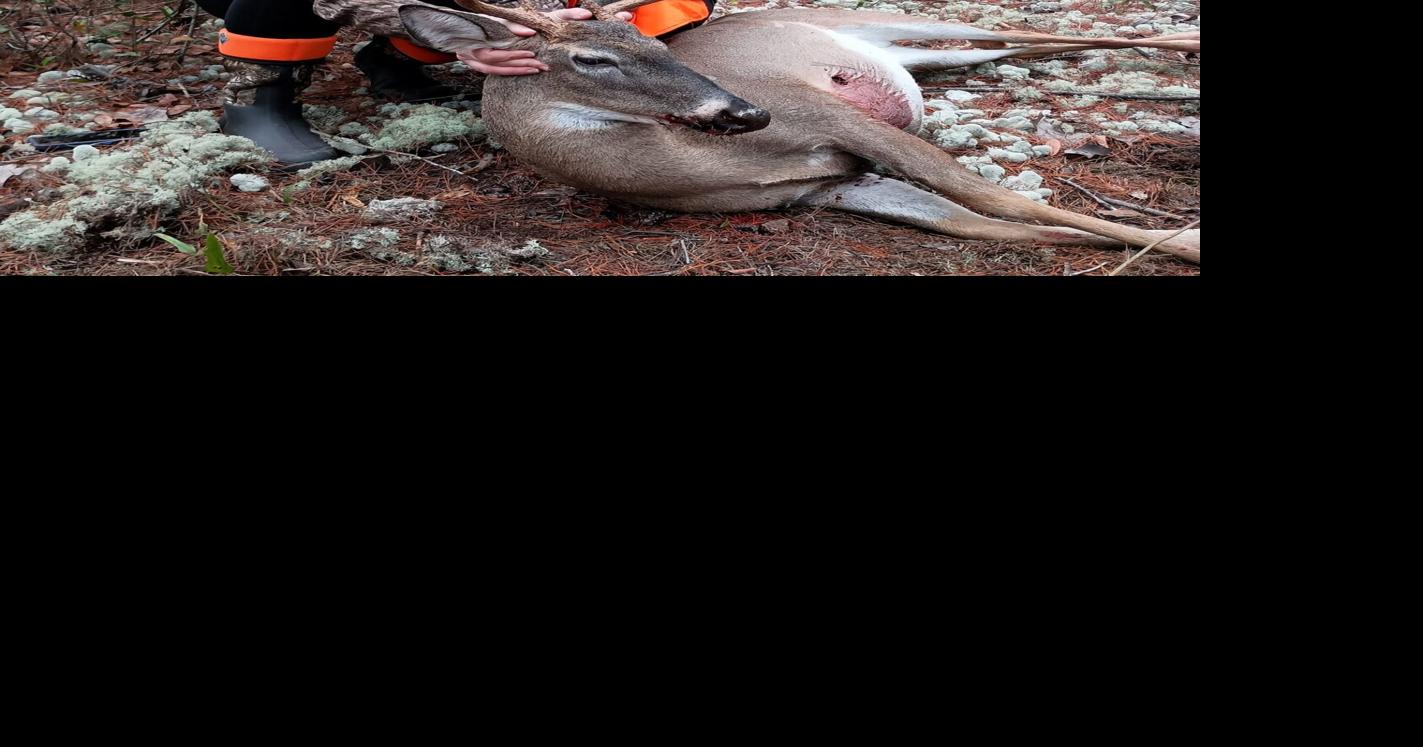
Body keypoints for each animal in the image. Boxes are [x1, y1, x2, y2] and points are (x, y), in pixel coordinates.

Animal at [358, 0, 1201, 263]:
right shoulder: (828, 186)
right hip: (921, 53)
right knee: (1007, 48)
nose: (744, 112)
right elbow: (998, 227)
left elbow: (1008, 203)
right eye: (593, 58)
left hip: (888, 24)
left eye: (646, 37)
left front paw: (1187, 241)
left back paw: (1182, 46)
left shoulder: (830, 117)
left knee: (1034, 33)